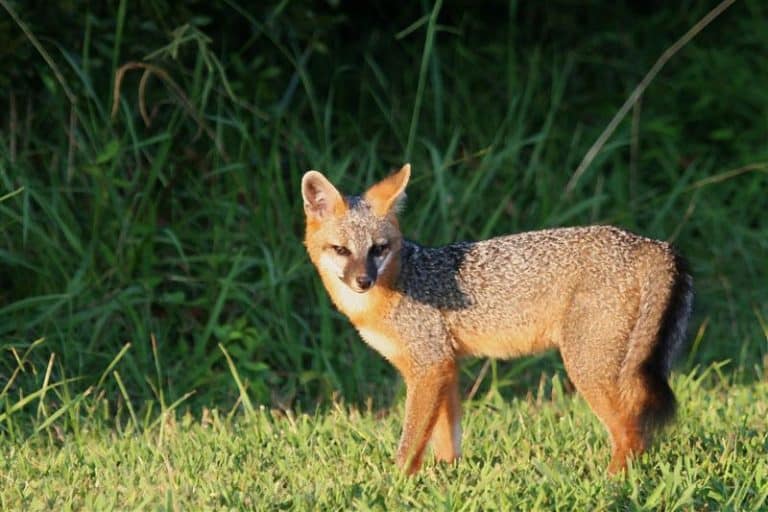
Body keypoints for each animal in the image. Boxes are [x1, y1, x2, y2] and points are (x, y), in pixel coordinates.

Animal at [301, 163, 693, 475]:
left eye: (378, 249)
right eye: (341, 250)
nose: (363, 280)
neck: (399, 282)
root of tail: (648, 242)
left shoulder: (429, 366)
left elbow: (411, 441)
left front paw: (396, 483)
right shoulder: (446, 366)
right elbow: (447, 437)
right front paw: (447, 478)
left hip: (588, 369)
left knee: (633, 435)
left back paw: (610, 482)